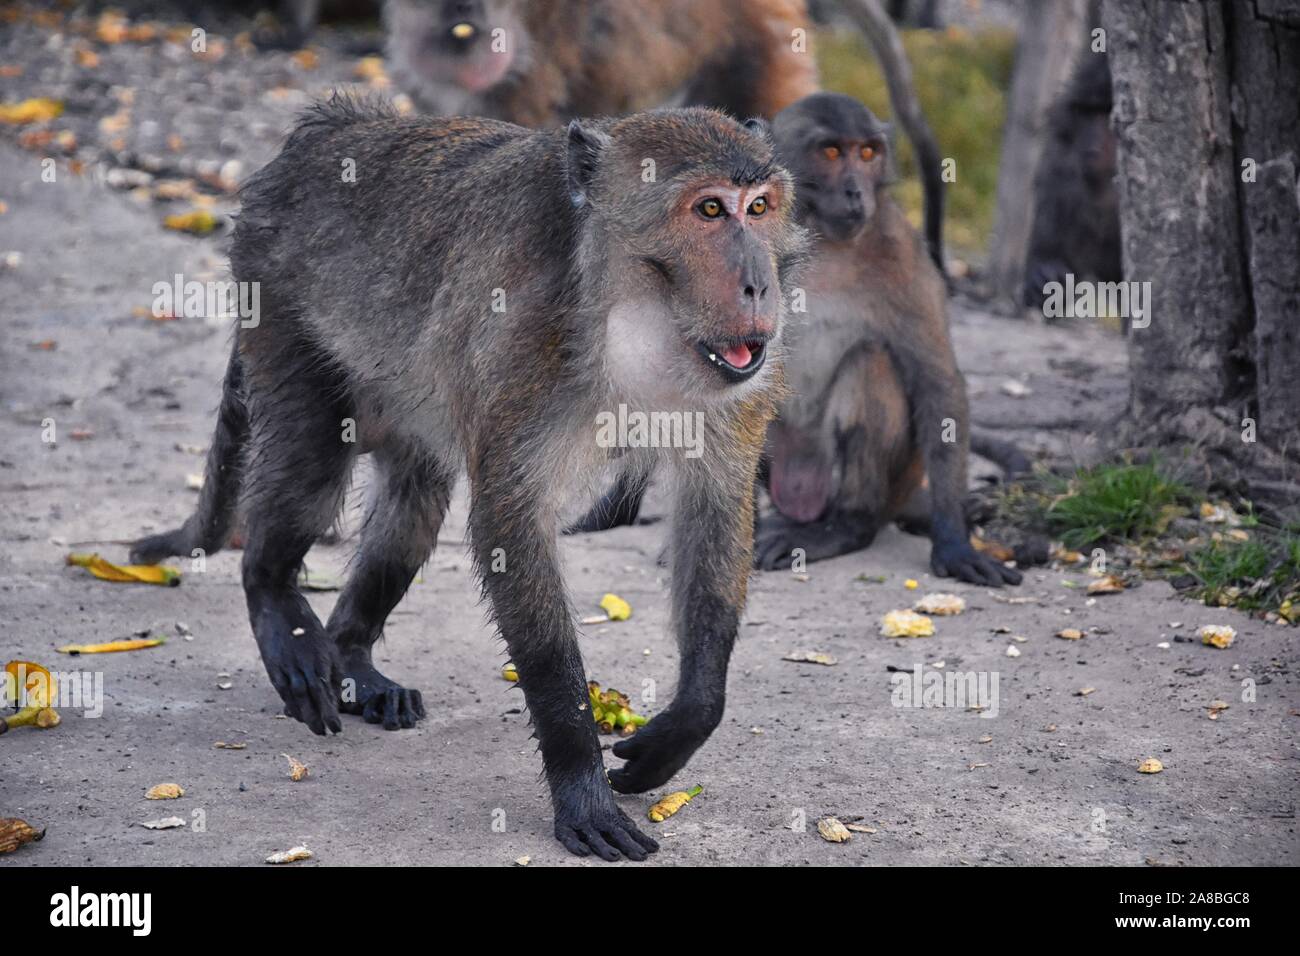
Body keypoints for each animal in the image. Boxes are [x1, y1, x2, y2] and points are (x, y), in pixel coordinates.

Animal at [129, 95, 807, 861]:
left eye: (760, 207)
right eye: (710, 210)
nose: (758, 284)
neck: (631, 302)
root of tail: (324, 128)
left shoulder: (742, 382)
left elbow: (715, 510)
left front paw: (687, 722)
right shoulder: (522, 347)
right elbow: (511, 528)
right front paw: (580, 784)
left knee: (415, 504)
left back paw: (353, 656)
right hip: (275, 298)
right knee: (309, 464)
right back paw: (278, 603)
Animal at [571, 93, 1021, 587]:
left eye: (868, 153)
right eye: (832, 152)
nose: (855, 192)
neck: (818, 236)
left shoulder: (901, 249)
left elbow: (936, 380)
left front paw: (955, 543)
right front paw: (610, 513)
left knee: (871, 362)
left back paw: (843, 527)